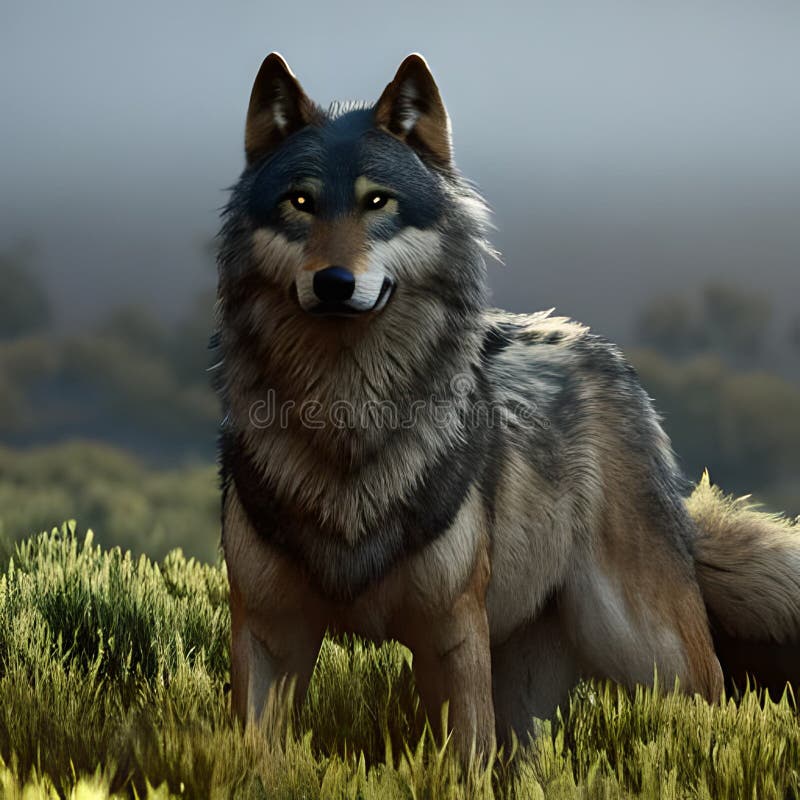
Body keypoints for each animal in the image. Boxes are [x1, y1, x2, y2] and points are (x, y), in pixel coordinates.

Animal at [215, 52, 800, 756]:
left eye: (377, 201)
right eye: (299, 202)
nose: (333, 282)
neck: (349, 423)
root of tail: (610, 358)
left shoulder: (450, 632)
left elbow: (463, 757)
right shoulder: (269, 632)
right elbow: (256, 753)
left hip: (650, 651)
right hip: (527, 681)